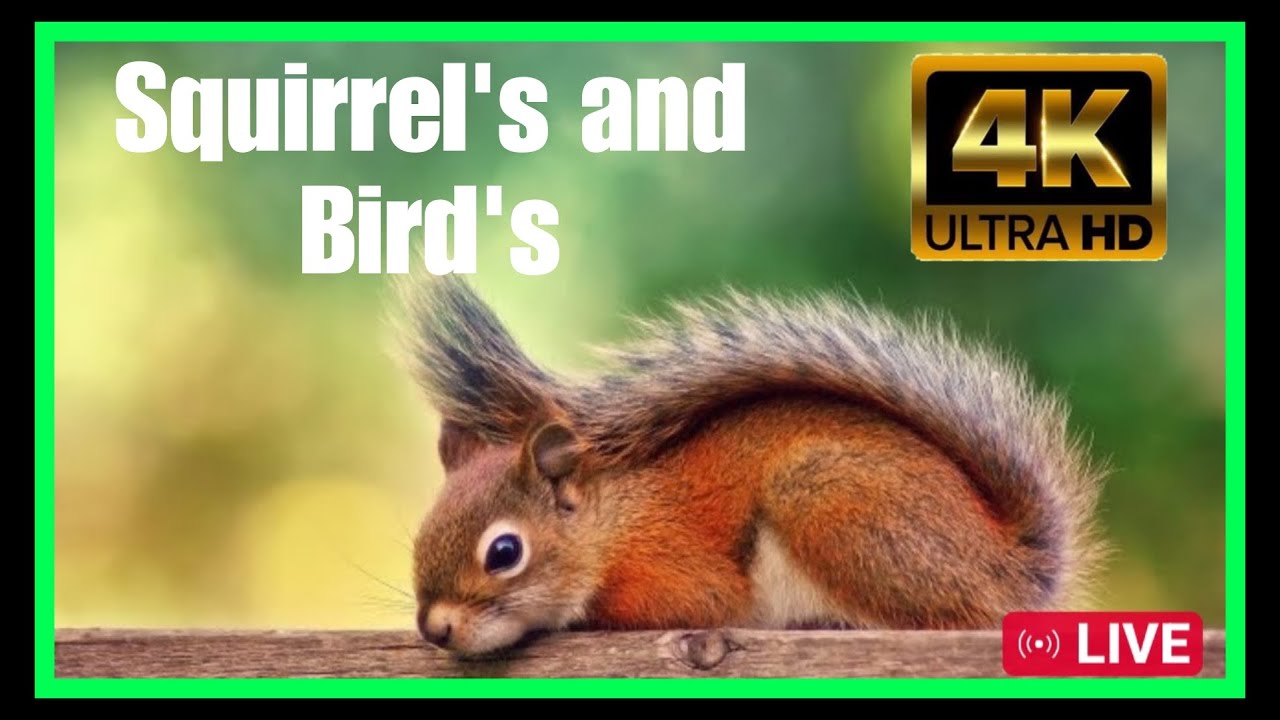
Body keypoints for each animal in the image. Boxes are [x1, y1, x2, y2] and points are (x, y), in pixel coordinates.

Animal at [396, 274, 1107, 657]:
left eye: (505, 551)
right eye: (420, 536)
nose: (435, 628)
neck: (612, 531)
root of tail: (1011, 565)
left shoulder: (679, 575)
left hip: (834, 504)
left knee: (951, 617)